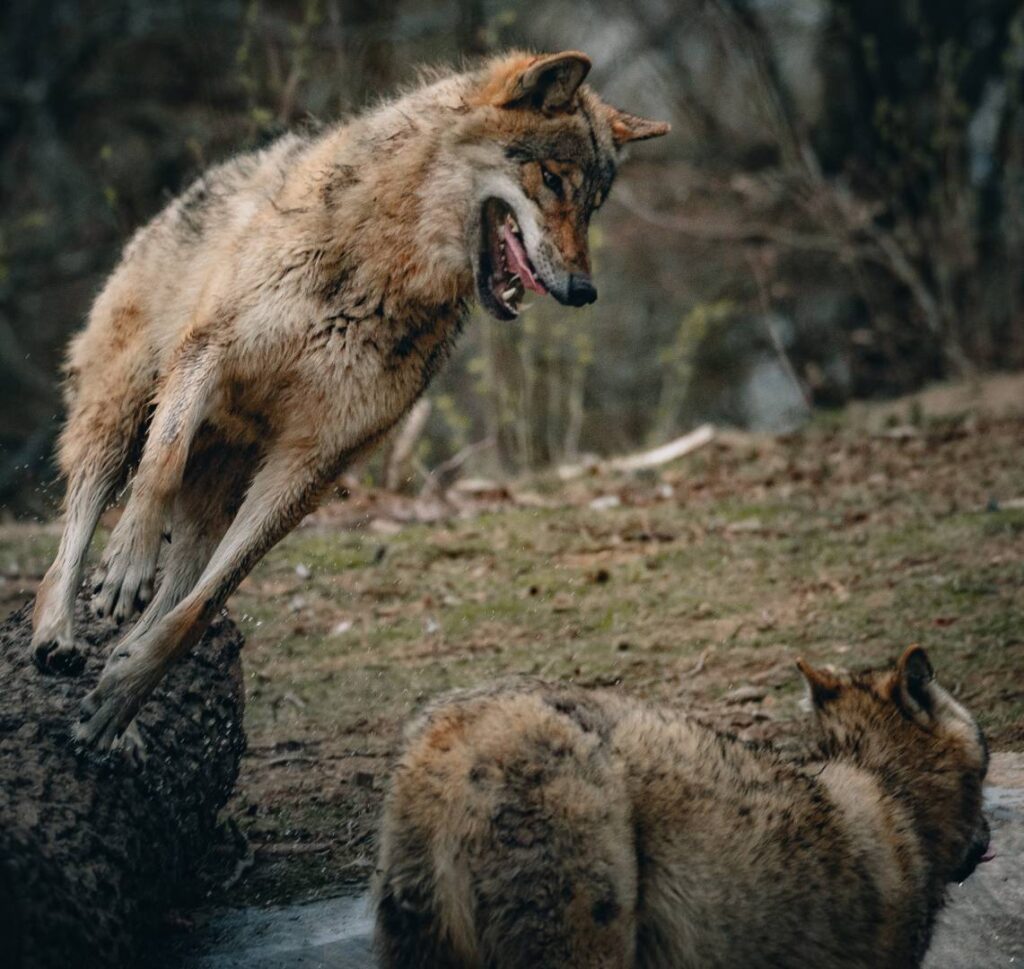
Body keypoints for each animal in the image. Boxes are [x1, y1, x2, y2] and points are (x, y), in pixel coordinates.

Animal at [28, 50, 669, 749]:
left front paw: (123, 693)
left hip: (218, 496)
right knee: (76, 528)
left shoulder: (312, 465)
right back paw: (56, 634)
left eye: (594, 204)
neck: (380, 269)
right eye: (551, 180)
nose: (583, 291)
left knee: (181, 586)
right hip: (118, 414)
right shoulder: (207, 356)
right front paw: (126, 566)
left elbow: (202, 608)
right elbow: (160, 466)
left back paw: (121, 695)